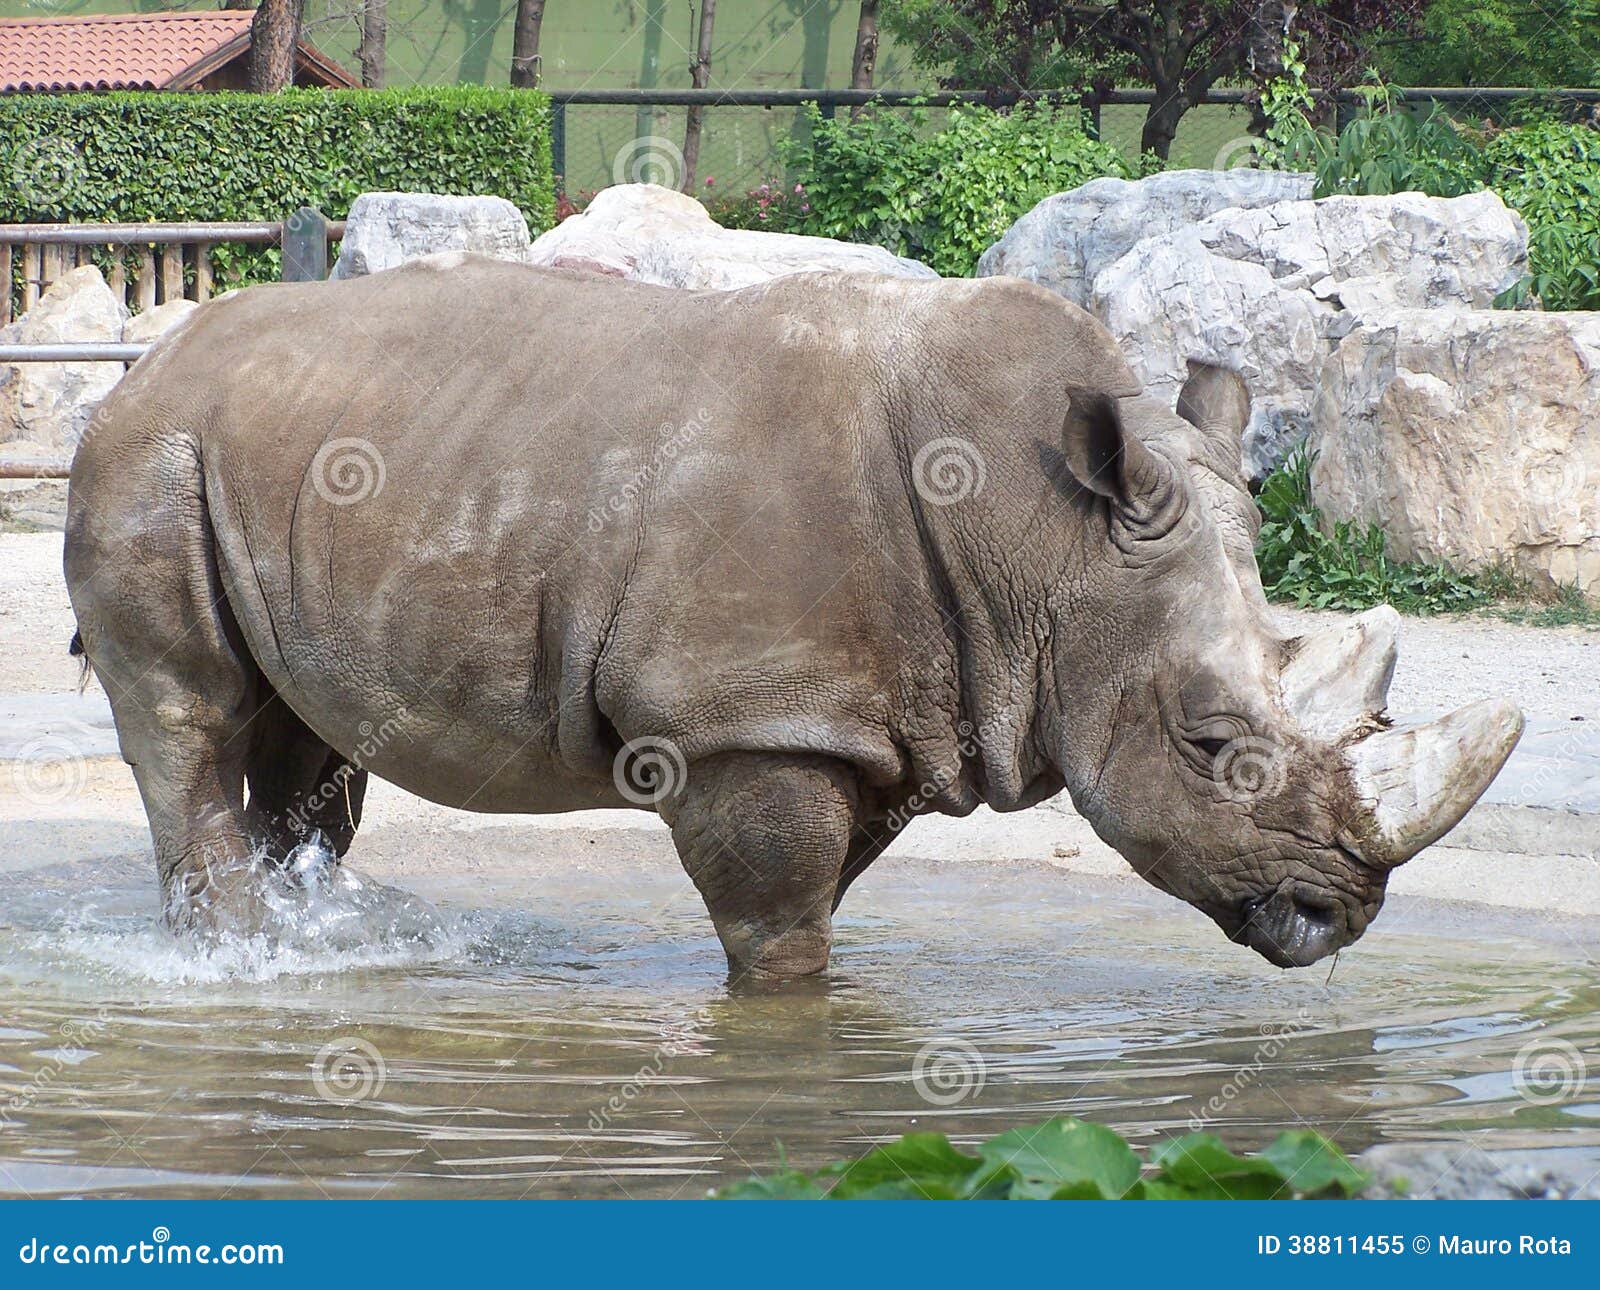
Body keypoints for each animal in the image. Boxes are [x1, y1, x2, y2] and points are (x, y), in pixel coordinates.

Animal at [63, 258, 1523, 978]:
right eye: (1216, 745)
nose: (1340, 915)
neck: (1049, 547)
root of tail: (147, 356)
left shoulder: (862, 721)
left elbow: (815, 909)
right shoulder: (744, 721)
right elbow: (781, 936)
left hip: (286, 458)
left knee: (307, 744)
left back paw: (315, 946)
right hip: (150, 455)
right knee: (190, 718)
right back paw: (237, 963)